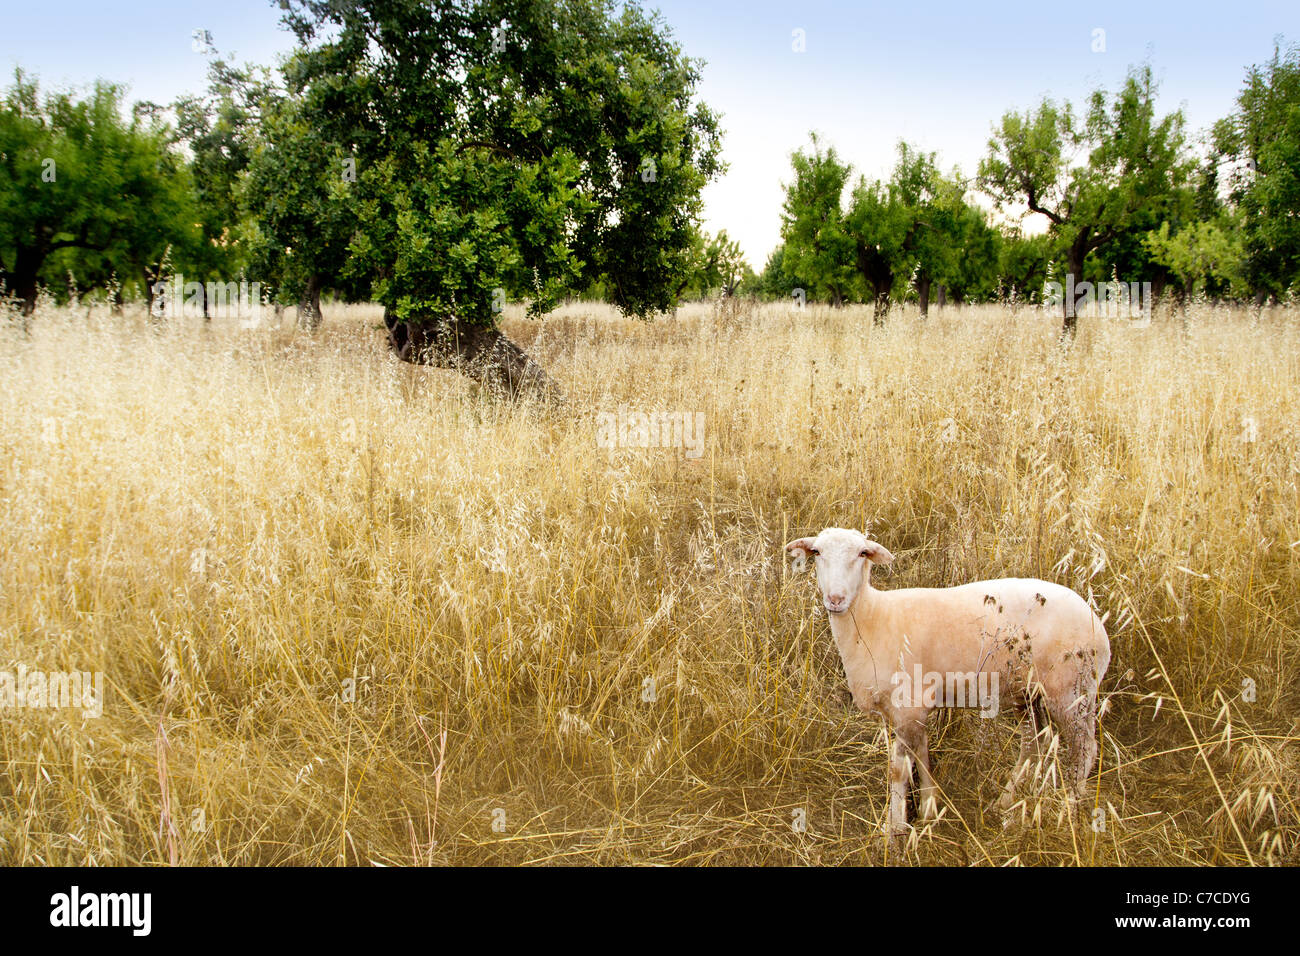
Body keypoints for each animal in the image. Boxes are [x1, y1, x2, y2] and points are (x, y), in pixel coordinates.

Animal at [784, 527, 1111, 846]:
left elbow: (899, 770)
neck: (872, 618)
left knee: (1085, 749)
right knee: (1035, 743)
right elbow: (922, 755)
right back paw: (1005, 803)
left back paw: (1068, 808)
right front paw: (928, 811)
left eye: (863, 553)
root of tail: (1095, 620)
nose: (835, 599)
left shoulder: (909, 705)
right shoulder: (910, 712)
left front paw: (894, 833)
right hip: (1027, 692)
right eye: (817, 552)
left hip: (1071, 691)